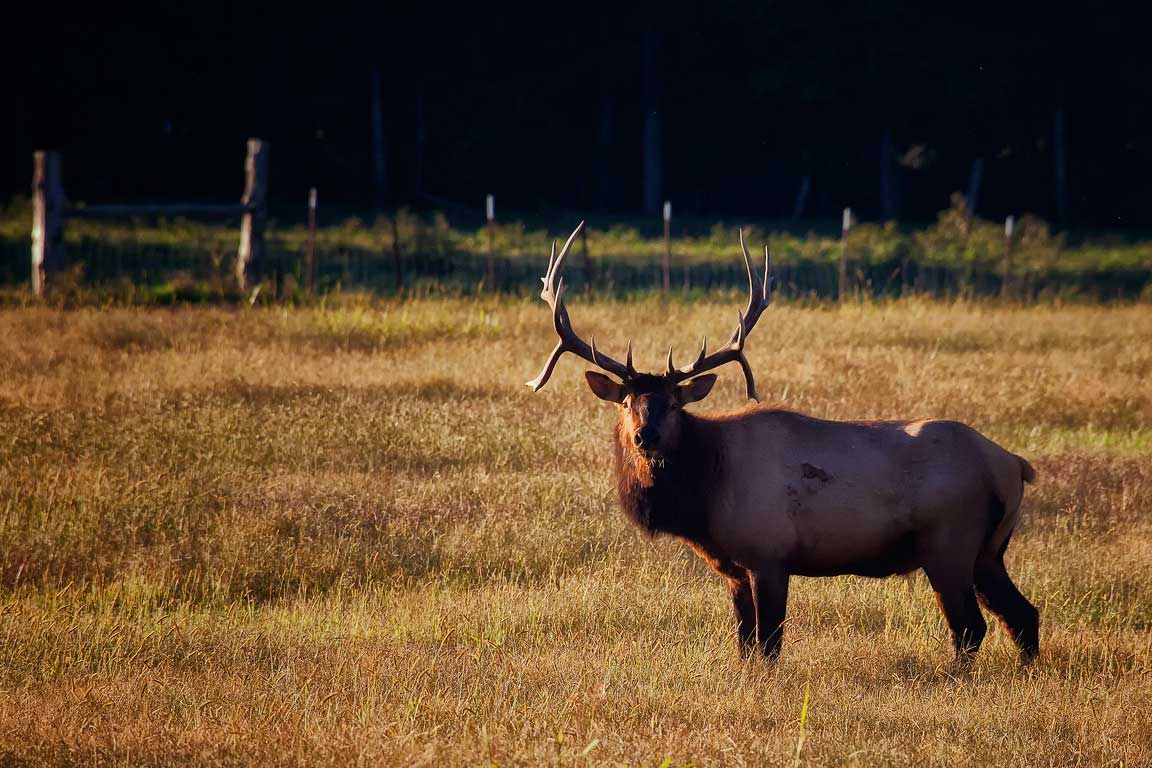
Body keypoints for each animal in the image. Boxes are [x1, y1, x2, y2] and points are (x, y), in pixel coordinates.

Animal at [526, 222, 1039, 667]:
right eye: (628, 401)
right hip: (987, 550)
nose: (645, 436)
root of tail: (1014, 465)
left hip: (949, 542)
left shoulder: (769, 554)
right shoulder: (732, 567)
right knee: (1022, 614)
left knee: (970, 626)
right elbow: (744, 642)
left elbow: (769, 643)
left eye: (673, 403)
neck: (706, 494)